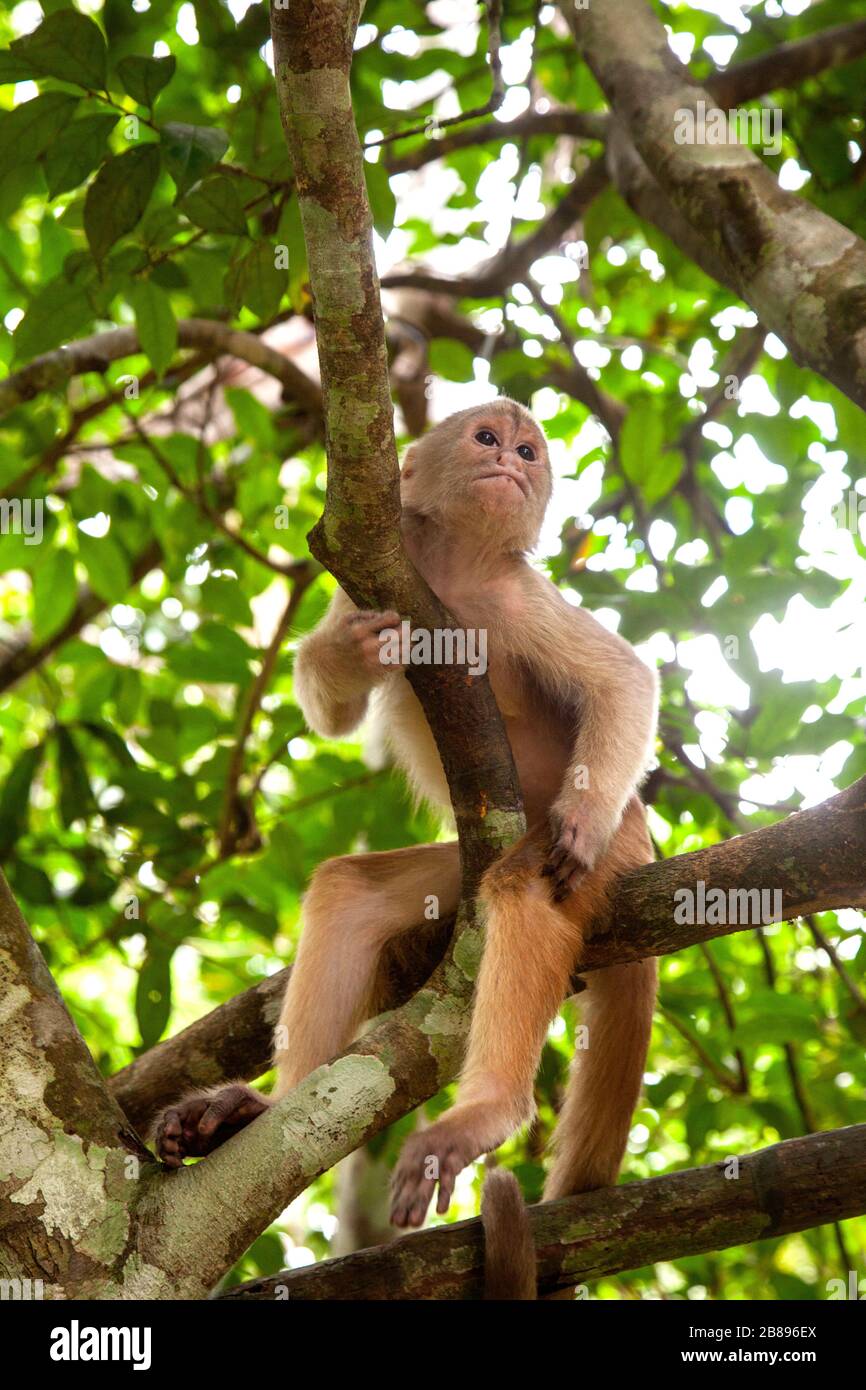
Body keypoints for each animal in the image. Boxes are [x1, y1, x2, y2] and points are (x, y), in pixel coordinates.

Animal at [153, 397, 658, 1256]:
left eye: (528, 451)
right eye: (487, 440)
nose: (512, 461)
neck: (455, 575)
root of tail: (649, 836)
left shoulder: (518, 597)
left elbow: (625, 682)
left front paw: (580, 821)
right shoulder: (381, 581)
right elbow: (334, 710)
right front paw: (352, 654)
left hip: (615, 850)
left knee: (525, 886)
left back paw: (484, 1112)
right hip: (450, 874)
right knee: (348, 893)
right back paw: (260, 1108)